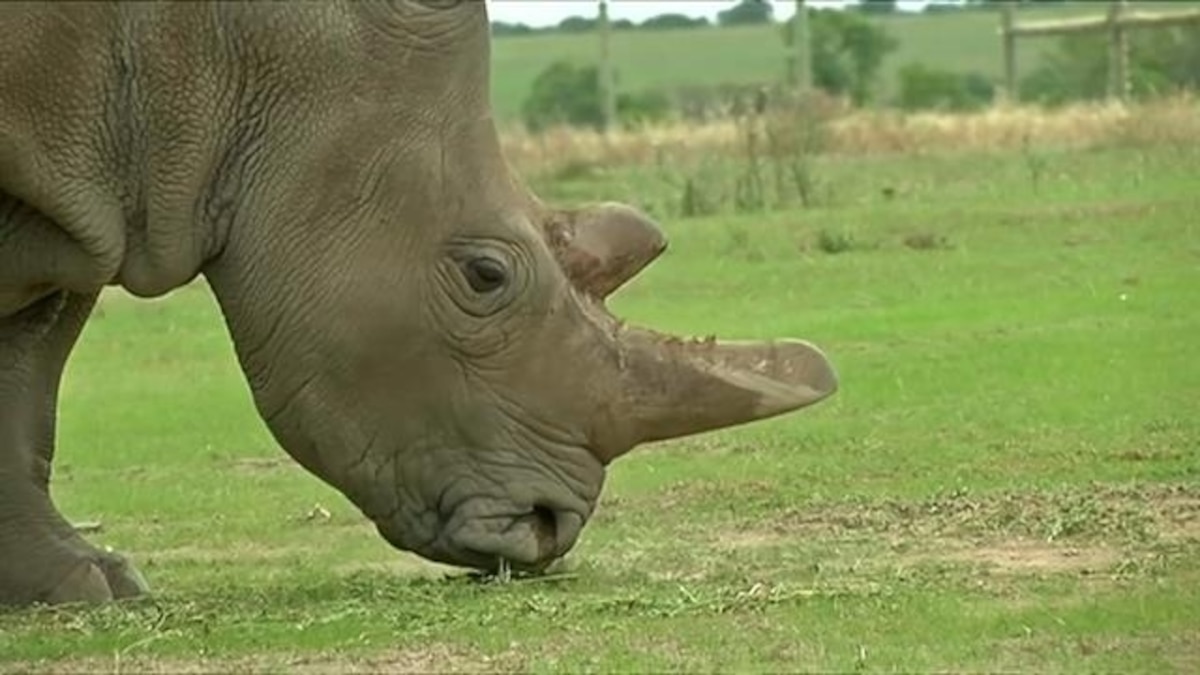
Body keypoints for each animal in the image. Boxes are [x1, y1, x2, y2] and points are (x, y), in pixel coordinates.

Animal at [0, 1, 837, 608]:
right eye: (484, 276)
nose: (545, 530)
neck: (213, 47)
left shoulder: (95, 195)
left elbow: (28, 379)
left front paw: (86, 585)